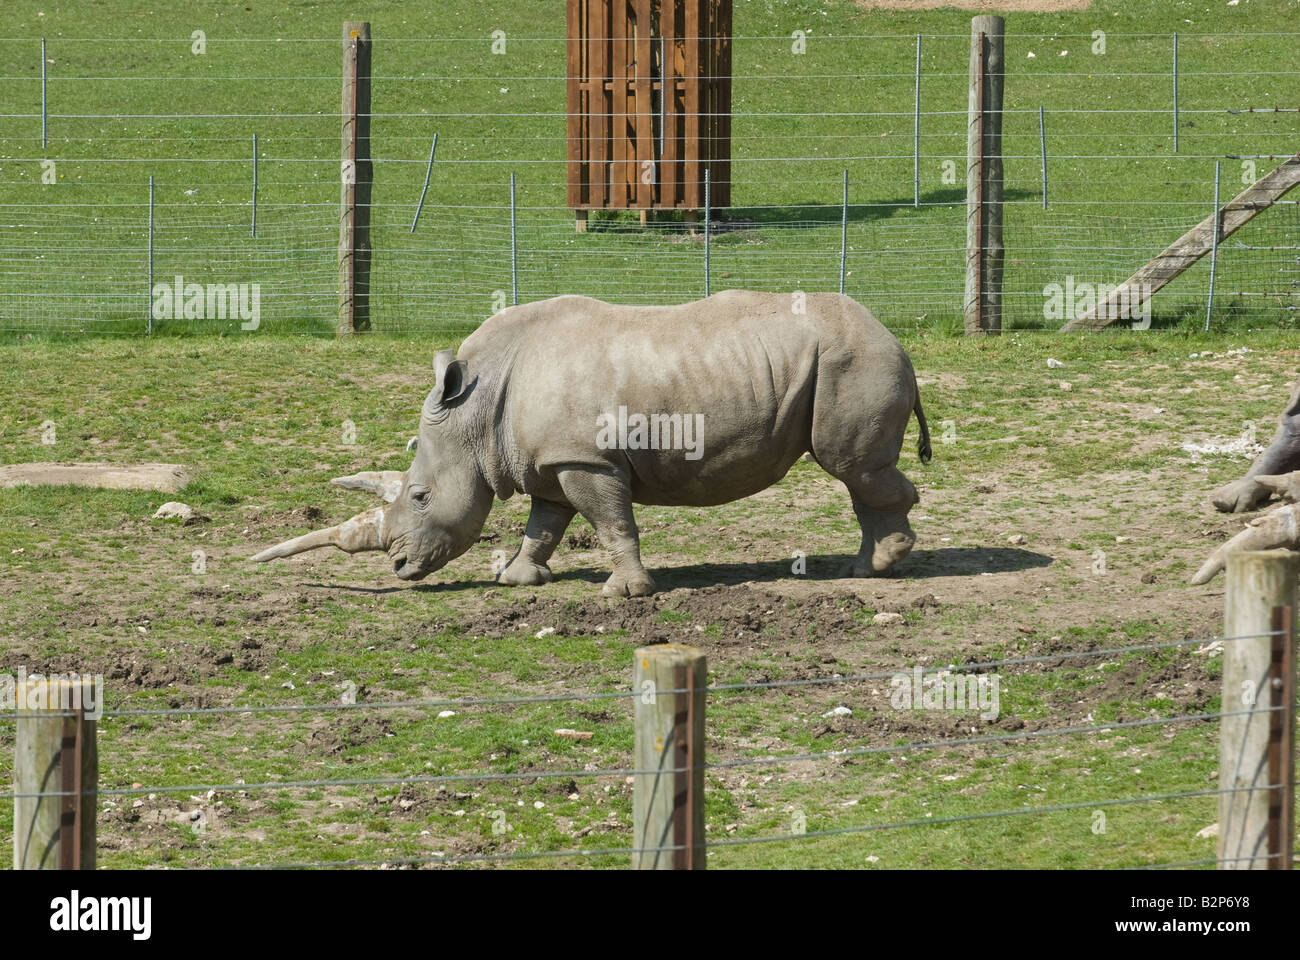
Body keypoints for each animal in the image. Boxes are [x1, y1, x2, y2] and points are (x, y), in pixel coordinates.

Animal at [252, 291, 932, 596]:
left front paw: (625, 592)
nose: (399, 567)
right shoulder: (549, 460)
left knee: (853, 466)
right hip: (848, 361)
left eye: (419, 496)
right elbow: (544, 523)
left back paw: (876, 566)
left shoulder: (587, 459)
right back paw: (866, 566)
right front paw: (518, 580)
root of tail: (894, 337)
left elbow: (610, 522)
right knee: (857, 472)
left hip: (854, 363)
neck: (476, 413)